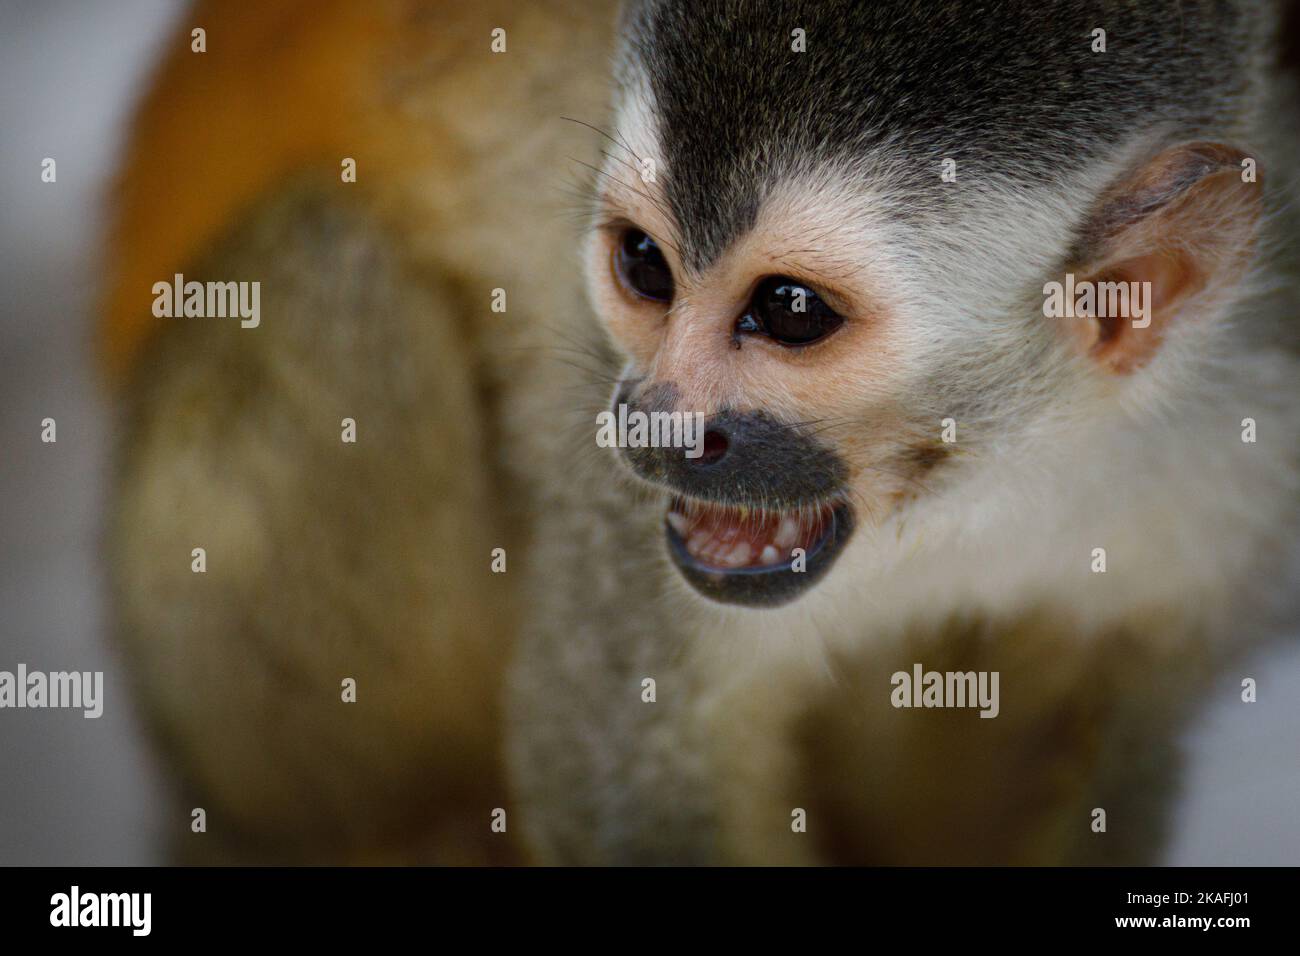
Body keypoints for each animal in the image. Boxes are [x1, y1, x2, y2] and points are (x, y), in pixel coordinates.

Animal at [103, 0, 1300, 864]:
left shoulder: (1259, 444)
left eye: (790, 310)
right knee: (322, 263)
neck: (1000, 469)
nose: (650, 421)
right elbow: (613, 750)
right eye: (644, 263)